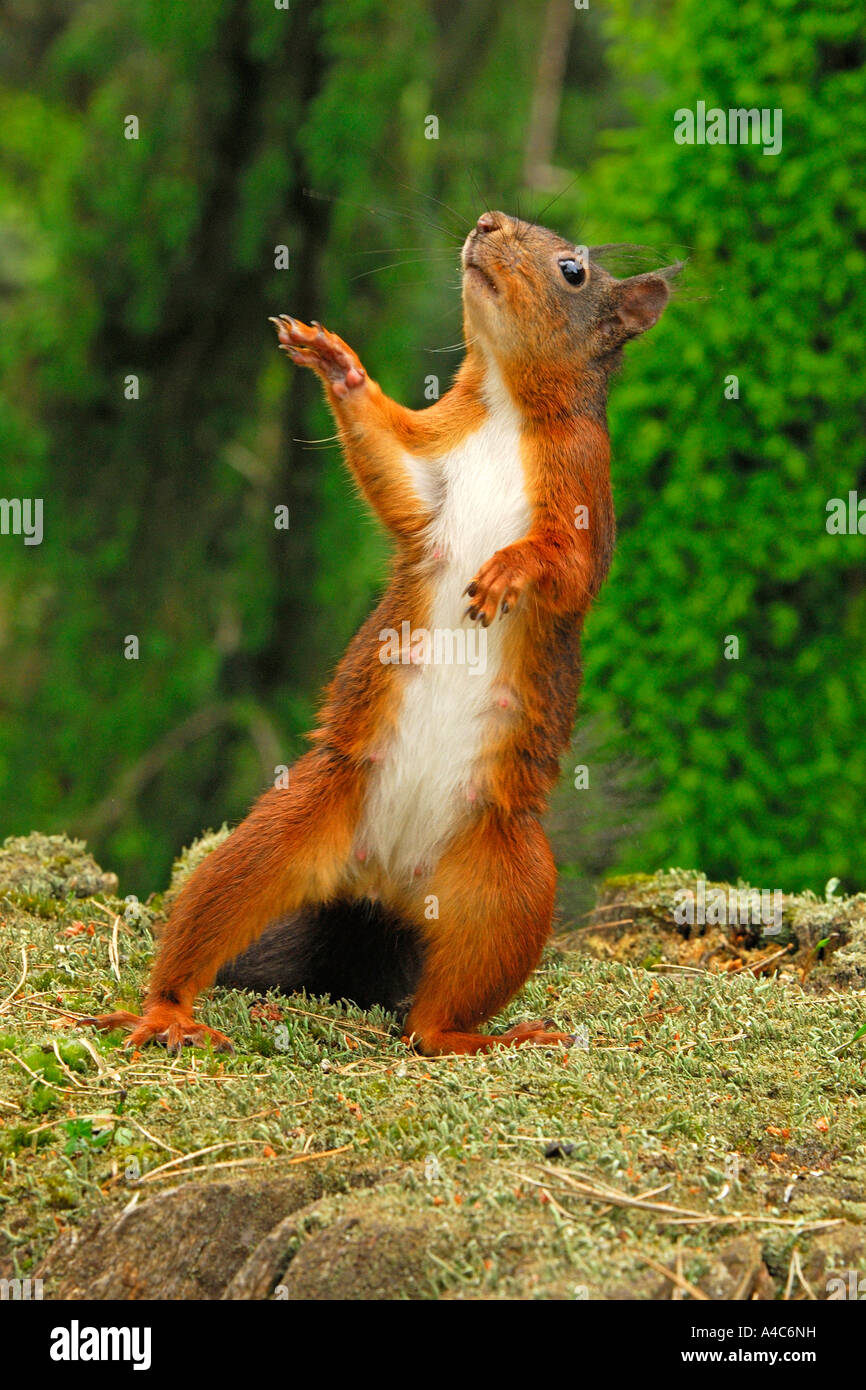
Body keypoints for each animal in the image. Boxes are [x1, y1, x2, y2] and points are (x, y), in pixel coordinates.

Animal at [89, 211, 678, 1056]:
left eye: (573, 270)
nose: (487, 221)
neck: (505, 406)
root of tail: (386, 886)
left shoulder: (585, 487)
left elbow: (564, 567)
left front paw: (507, 572)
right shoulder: (432, 465)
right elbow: (394, 475)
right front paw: (337, 365)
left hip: (511, 884)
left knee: (433, 1019)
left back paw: (480, 1037)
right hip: (288, 828)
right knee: (219, 902)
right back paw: (167, 1010)